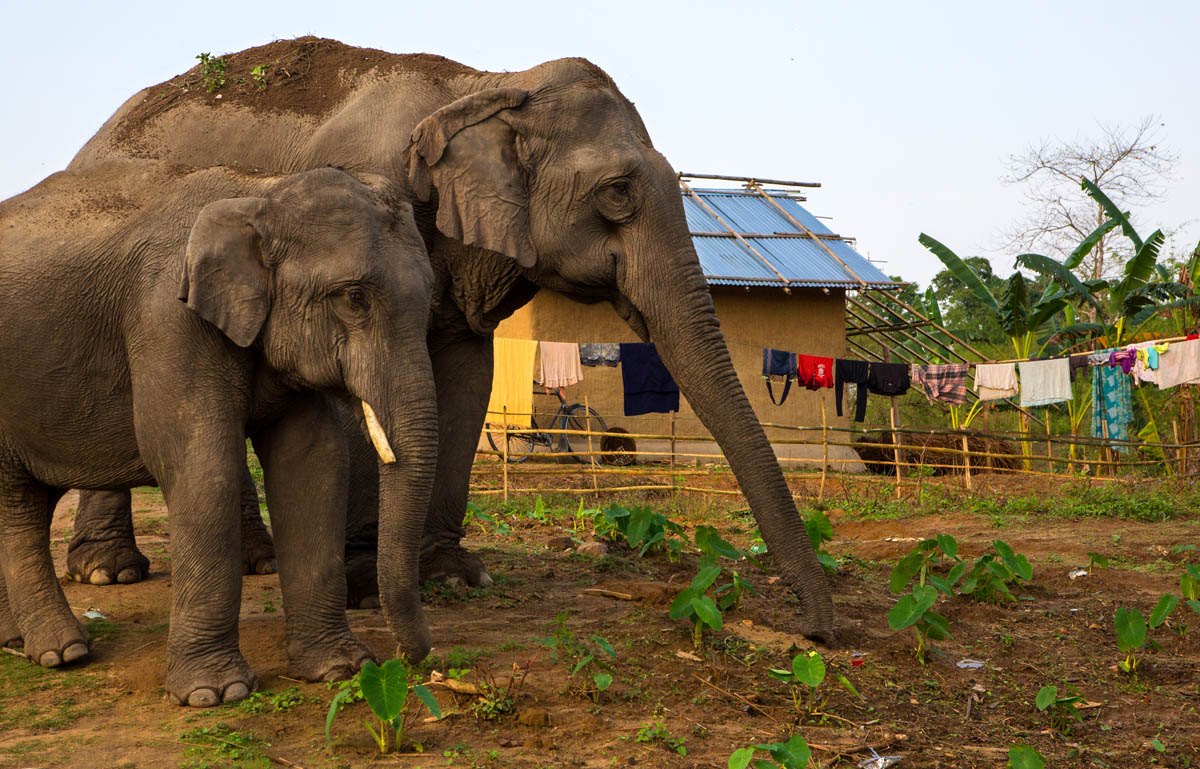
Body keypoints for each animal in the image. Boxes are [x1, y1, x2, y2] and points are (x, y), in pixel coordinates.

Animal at [0, 160, 437, 706]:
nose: (413, 662)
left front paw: (340, 668)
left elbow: (314, 465)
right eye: (355, 298)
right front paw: (216, 694)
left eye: (431, 300)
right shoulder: (168, 320)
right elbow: (201, 467)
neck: (260, 193)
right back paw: (63, 653)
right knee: (17, 503)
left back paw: (20, 641)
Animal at [68, 37, 836, 642]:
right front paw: (365, 584)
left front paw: (451, 576)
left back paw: (255, 560)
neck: (488, 85)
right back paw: (108, 572)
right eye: (617, 192)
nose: (813, 631)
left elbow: (466, 381)